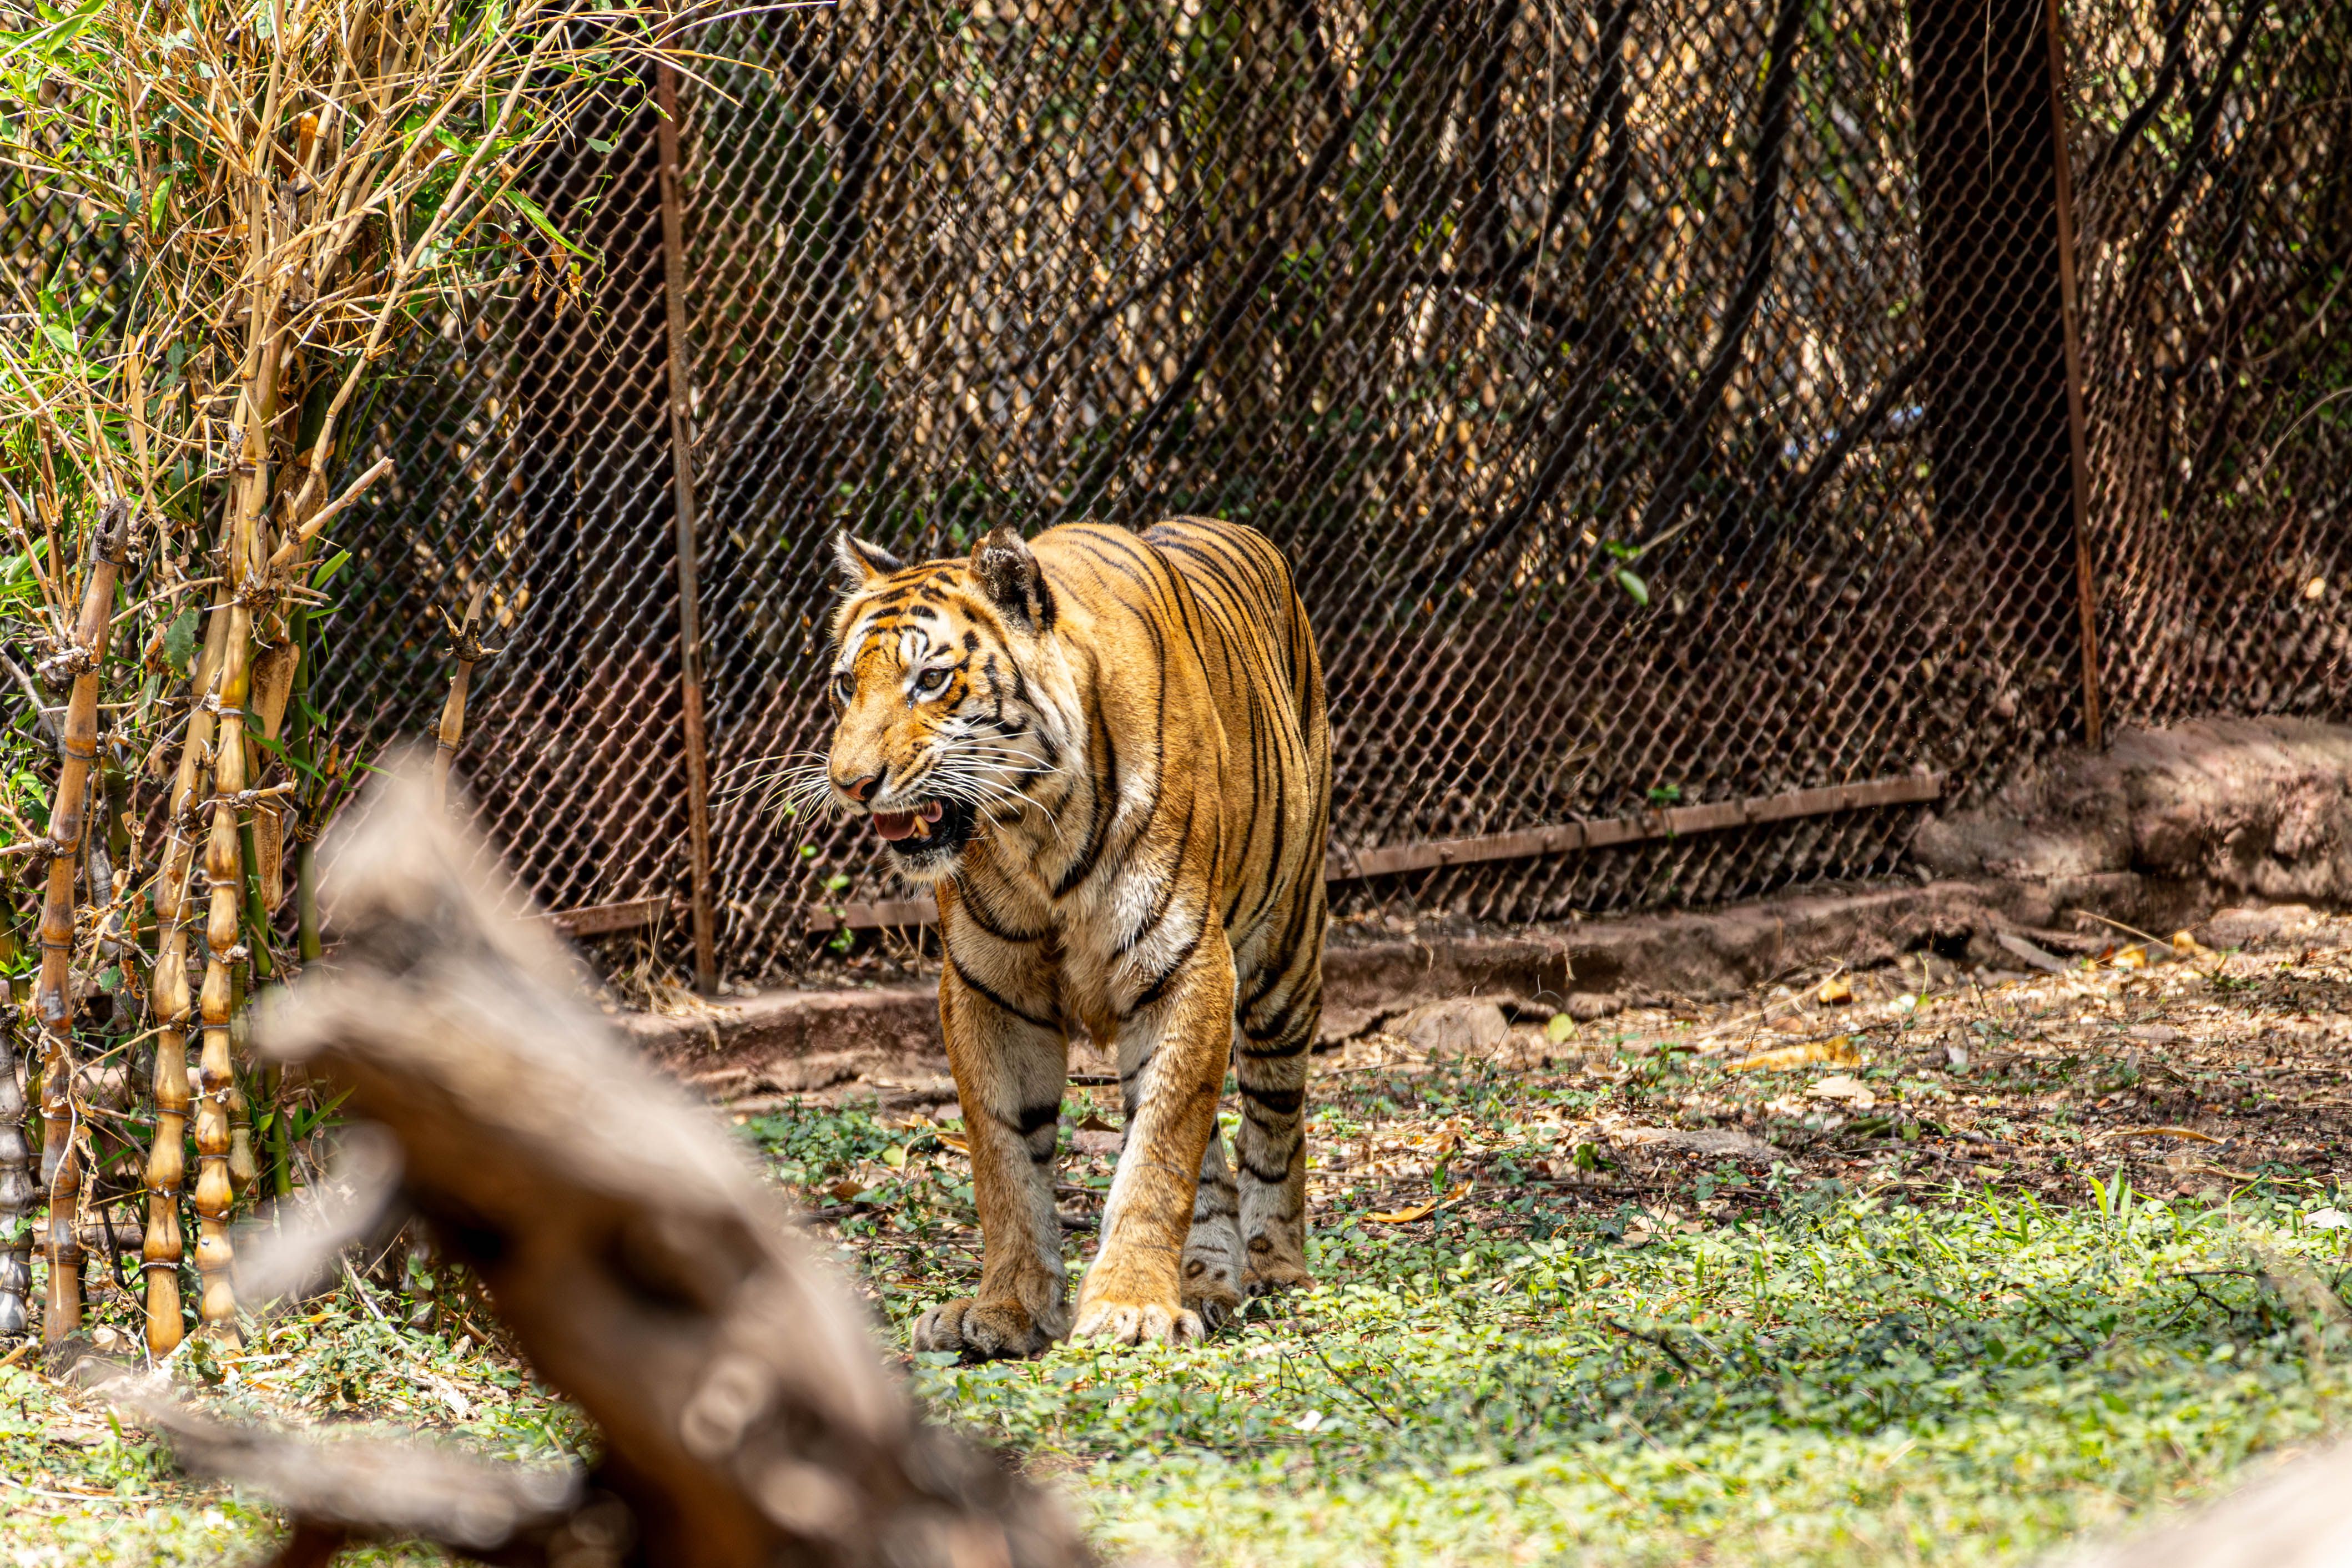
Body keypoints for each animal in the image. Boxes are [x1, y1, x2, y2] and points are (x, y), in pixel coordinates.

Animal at [821, 517, 1331, 1357]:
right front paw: (1004, 1307)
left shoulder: (1188, 966)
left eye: (930, 680)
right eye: (844, 684)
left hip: (1285, 958)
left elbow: (1158, 1151)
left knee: (1272, 1115)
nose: (850, 784)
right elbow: (1006, 1163)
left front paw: (1130, 1305)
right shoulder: (988, 991)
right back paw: (1206, 1278)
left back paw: (1272, 1265)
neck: (1033, 832)